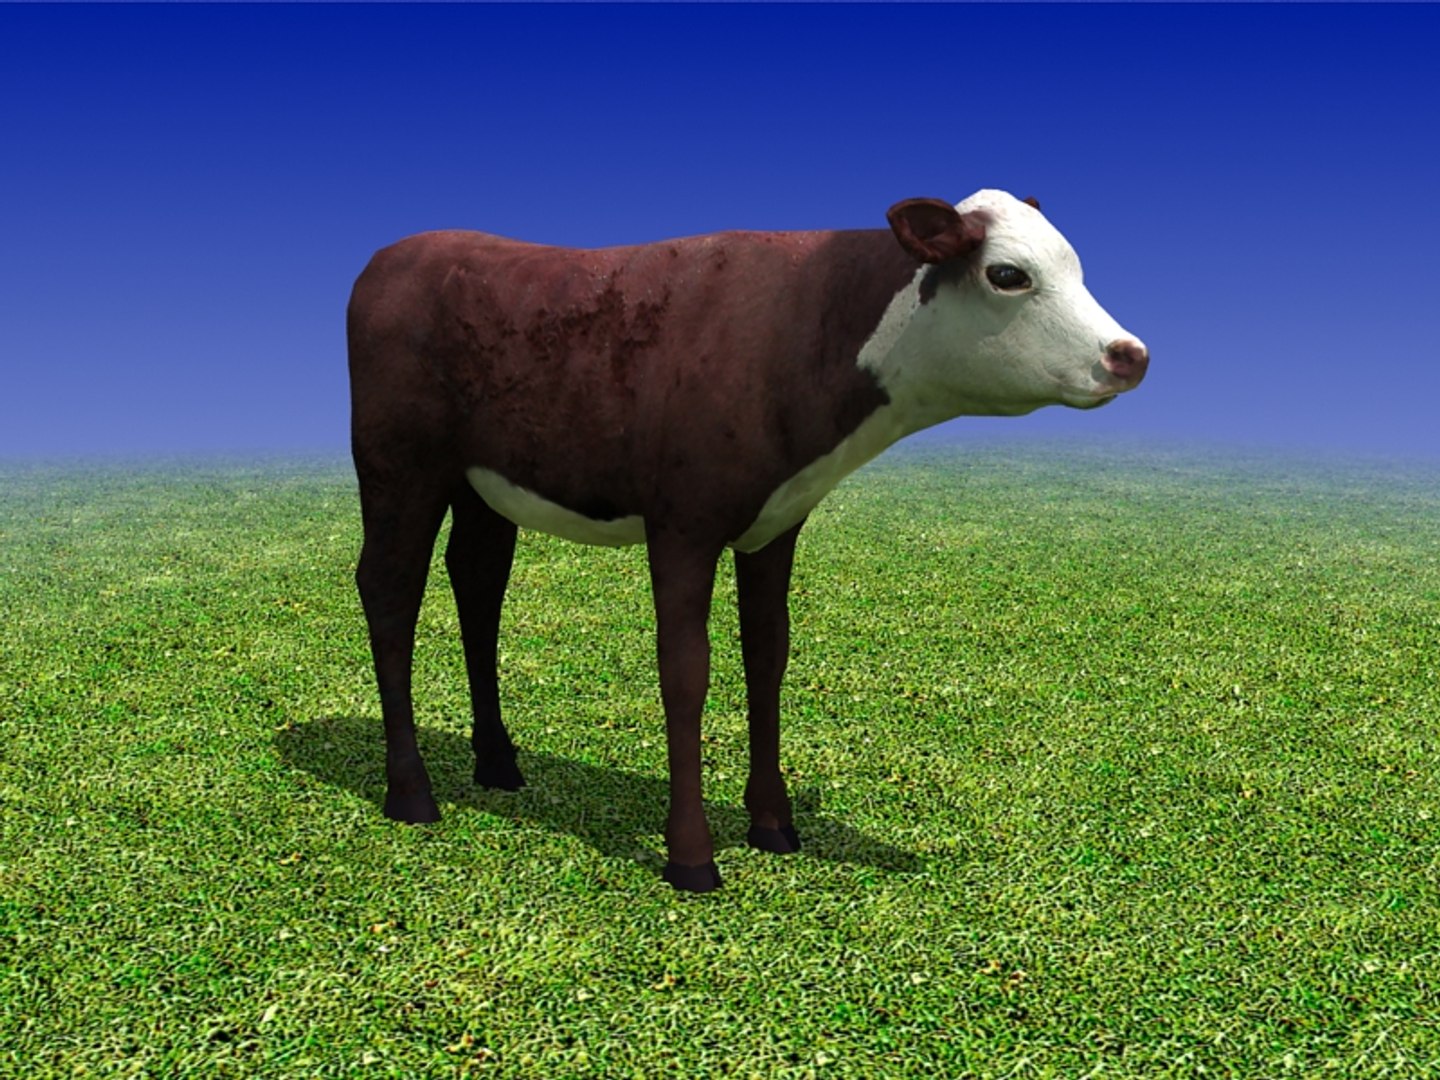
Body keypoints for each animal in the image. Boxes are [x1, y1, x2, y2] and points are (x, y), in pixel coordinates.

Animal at [347, 189, 1148, 892]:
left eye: (1076, 264)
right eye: (1008, 274)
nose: (1130, 355)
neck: (813, 326)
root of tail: (400, 250)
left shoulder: (776, 523)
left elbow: (767, 657)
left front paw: (773, 823)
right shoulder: (683, 524)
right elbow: (685, 672)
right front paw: (691, 856)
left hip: (484, 481)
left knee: (478, 586)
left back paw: (498, 764)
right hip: (397, 466)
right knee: (389, 590)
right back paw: (411, 792)